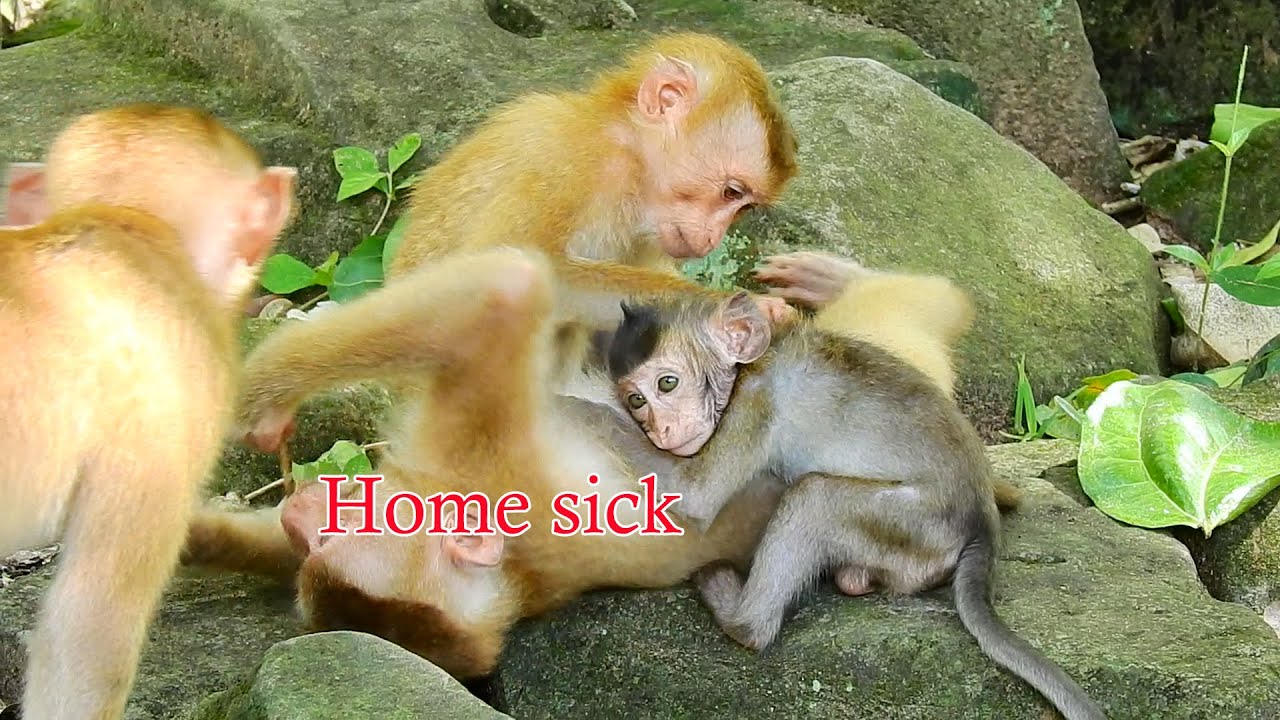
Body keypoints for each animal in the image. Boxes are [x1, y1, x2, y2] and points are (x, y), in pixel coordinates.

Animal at [597, 291, 1105, 720]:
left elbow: (696, 494)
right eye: (636, 399)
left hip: (915, 523)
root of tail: (981, 522)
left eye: (667, 383)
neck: (749, 365)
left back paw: (740, 617)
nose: (659, 429)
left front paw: (583, 409)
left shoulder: (754, 405)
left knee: (813, 498)